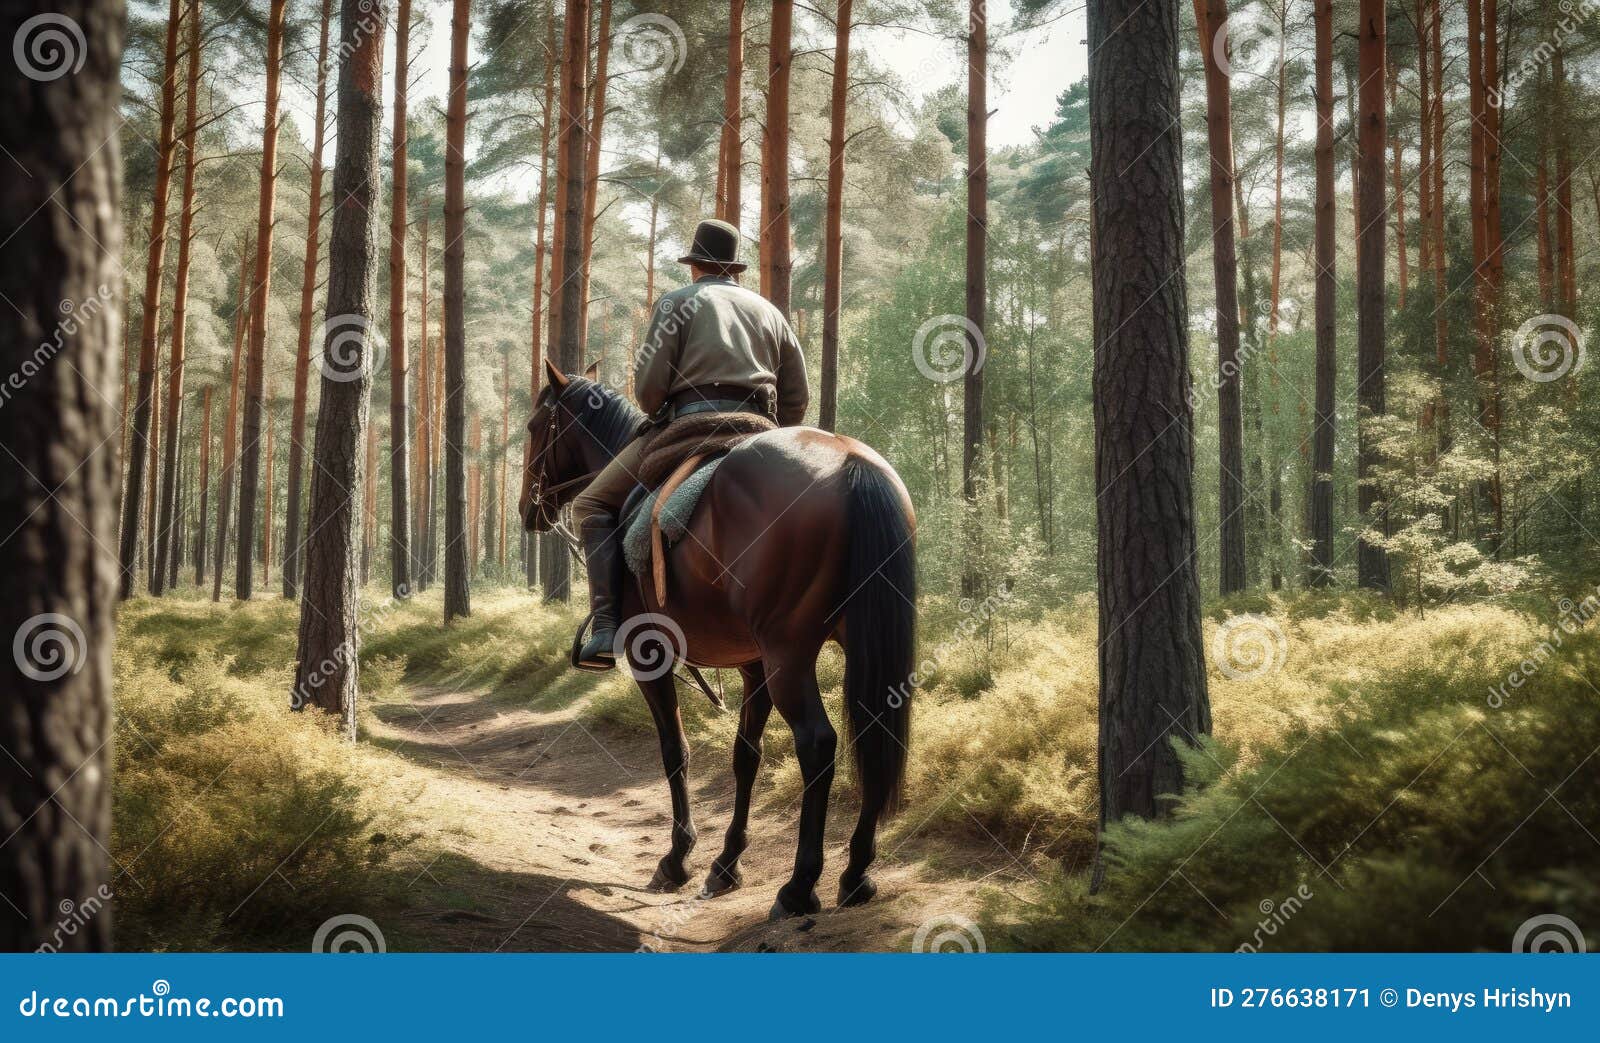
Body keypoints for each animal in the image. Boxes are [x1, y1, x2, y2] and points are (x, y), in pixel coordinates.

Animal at [519, 361, 916, 920]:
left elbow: (675, 749)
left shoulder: (651, 655)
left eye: (536, 427)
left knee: (818, 744)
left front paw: (677, 859)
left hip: (790, 656)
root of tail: (852, 464)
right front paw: (726, 863)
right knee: (874, 735)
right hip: (848, 649)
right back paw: (856, 874)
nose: (527, 508)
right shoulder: (753, 666)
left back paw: (799, 886)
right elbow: (745, 755)